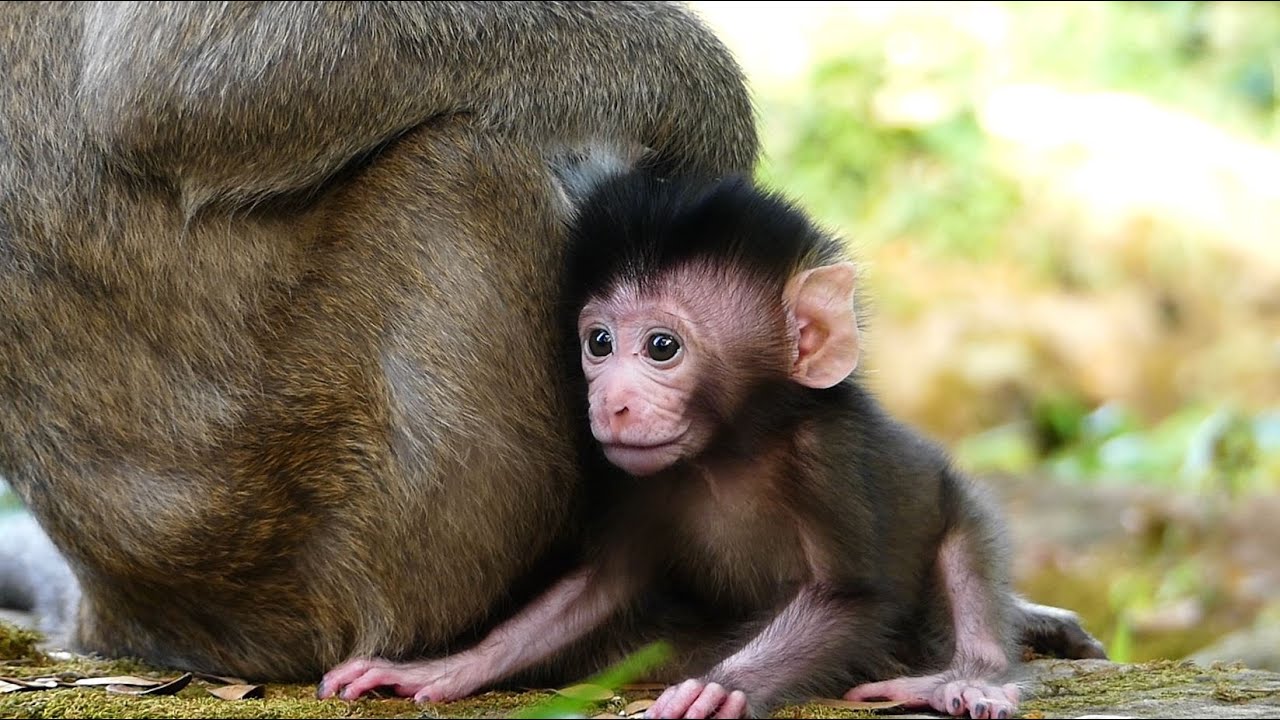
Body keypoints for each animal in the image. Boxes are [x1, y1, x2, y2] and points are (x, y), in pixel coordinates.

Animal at [316, 170, 1065, 719]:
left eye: (661, 347)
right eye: (599, 342)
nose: (609, 403)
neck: (728, 455)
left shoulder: (828, 453)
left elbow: (844, 597)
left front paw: (721, 686)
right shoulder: (637, 477)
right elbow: (598, 585)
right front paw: (443, 668)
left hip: (953, 519)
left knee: (964, 550)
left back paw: (970, 677)